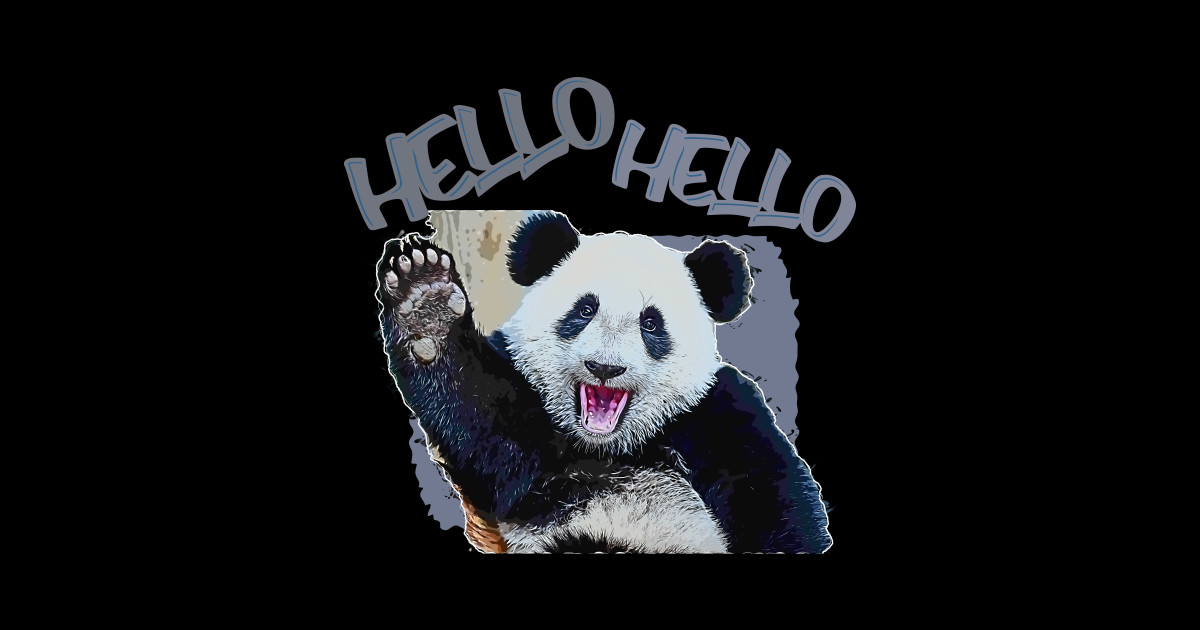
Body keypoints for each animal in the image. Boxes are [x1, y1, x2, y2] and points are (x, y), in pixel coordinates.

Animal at [377, 211, 832, 553]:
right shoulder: (528, 426)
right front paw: (427, 305)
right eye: (584, 310)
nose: (605, 368)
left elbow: (772, 498)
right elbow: (489, 429)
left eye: (651, 324)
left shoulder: (713, 409)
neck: (612, 445)